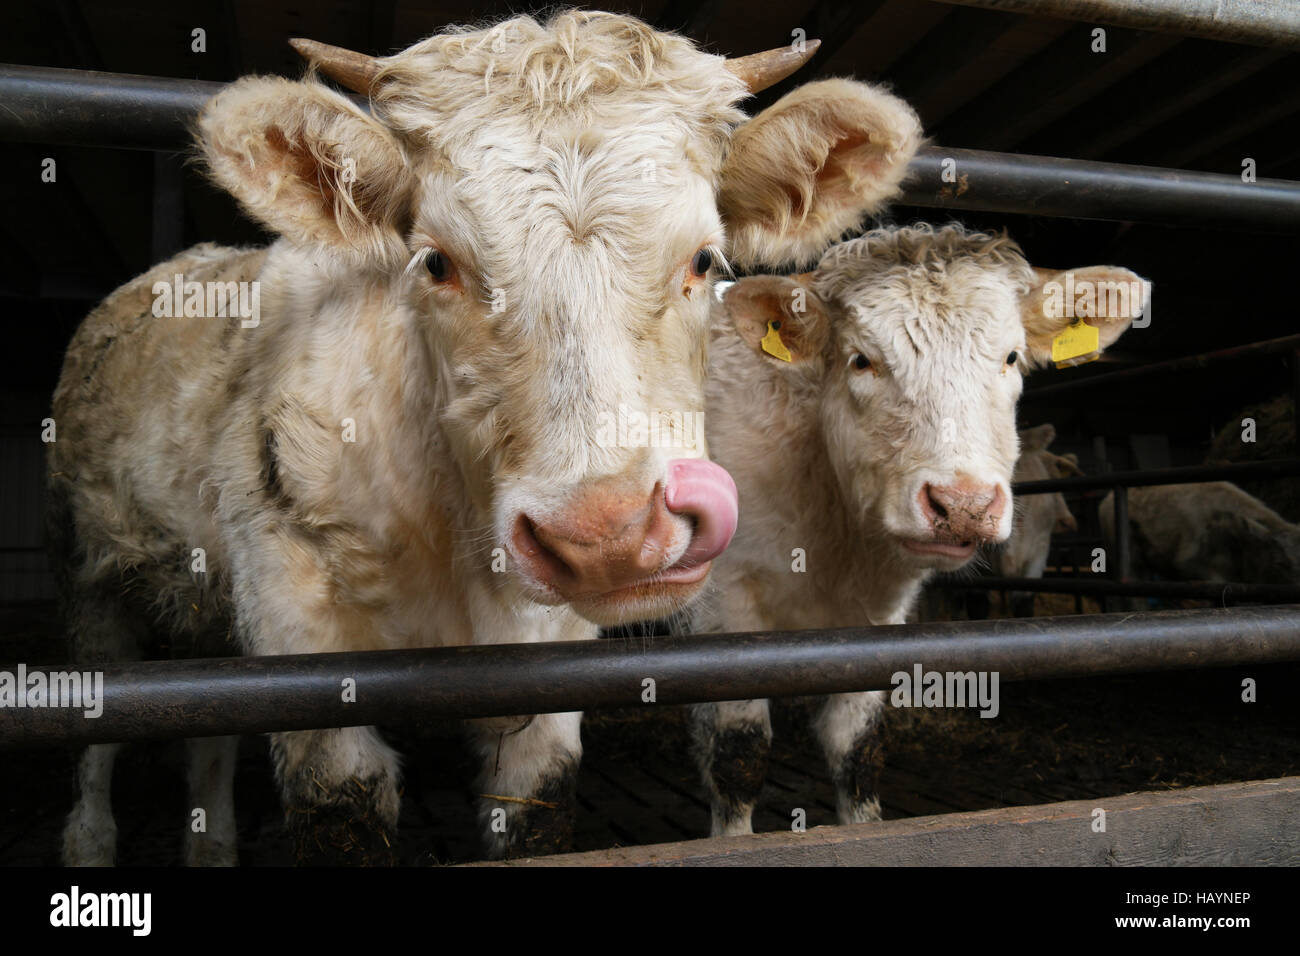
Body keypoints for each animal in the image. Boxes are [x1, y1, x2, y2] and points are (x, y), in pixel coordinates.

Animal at [47, 10, 926, 865]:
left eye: (705, 260)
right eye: (436, 262)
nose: (609, 534)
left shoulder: (545, 683)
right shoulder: (299, 634)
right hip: (92, 576)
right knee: (97, 725)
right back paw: (88, 840)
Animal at [689, 223, 1147, 836]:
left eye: (1011, 357)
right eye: (861, 360)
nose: (964, 504)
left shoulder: (877, 620)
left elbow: (856, 749)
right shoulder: (727, 603)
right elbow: (739, 756)